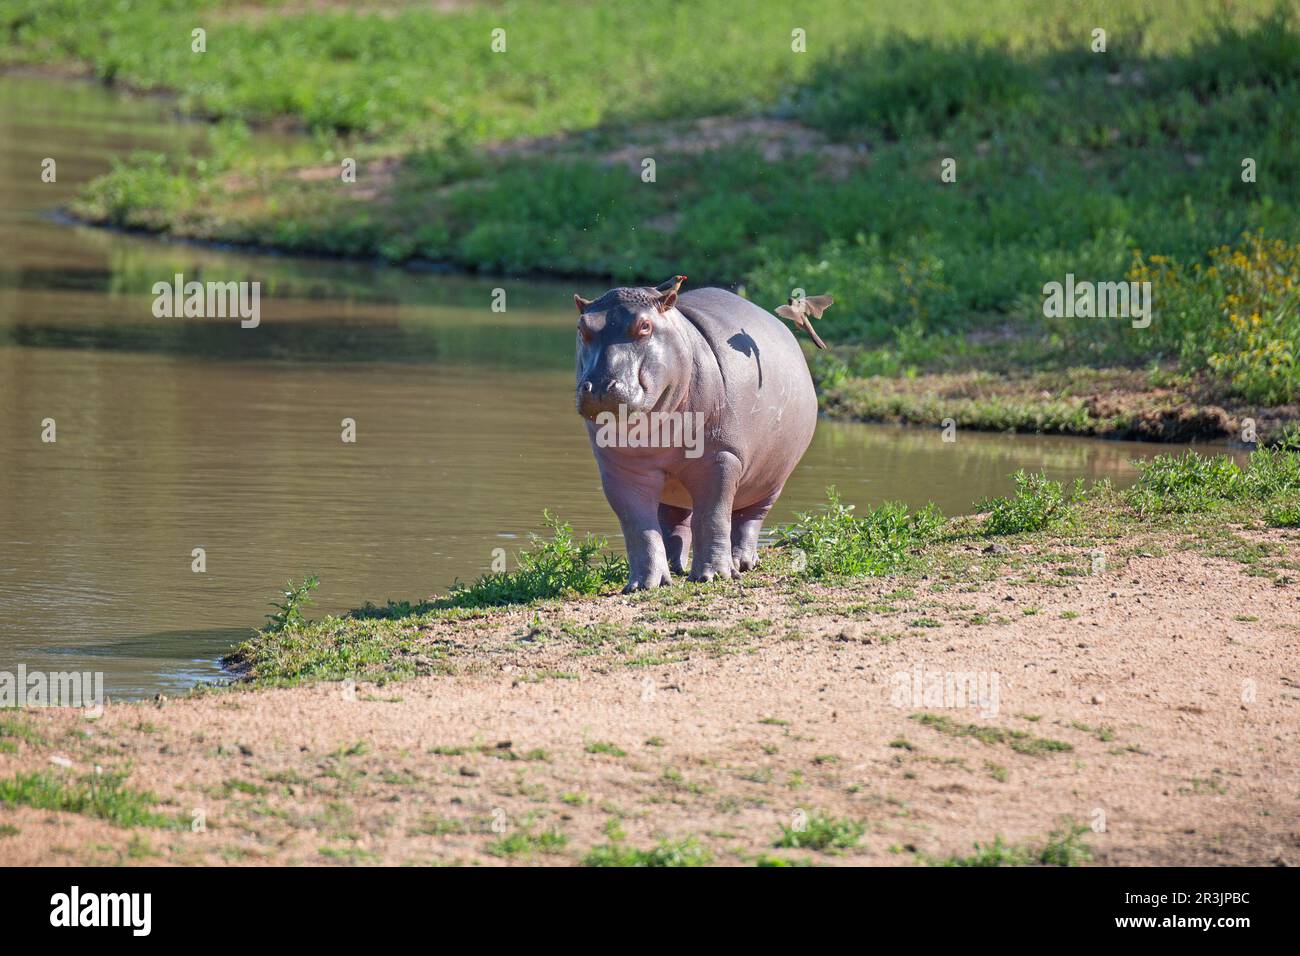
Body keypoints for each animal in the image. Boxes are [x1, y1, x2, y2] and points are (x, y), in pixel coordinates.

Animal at [574, 282, 827, 592]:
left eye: (644, 326)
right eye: (582, 327)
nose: (598, 386)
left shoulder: (720, 459)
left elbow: (713, 516)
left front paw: (713, 575)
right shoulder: (621, 472)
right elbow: (639, 527)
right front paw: (644, 584)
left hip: (771, 480)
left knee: (748, 519)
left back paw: (741, 562)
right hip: (675, 488)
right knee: (675, 521)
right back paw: (674, 567)